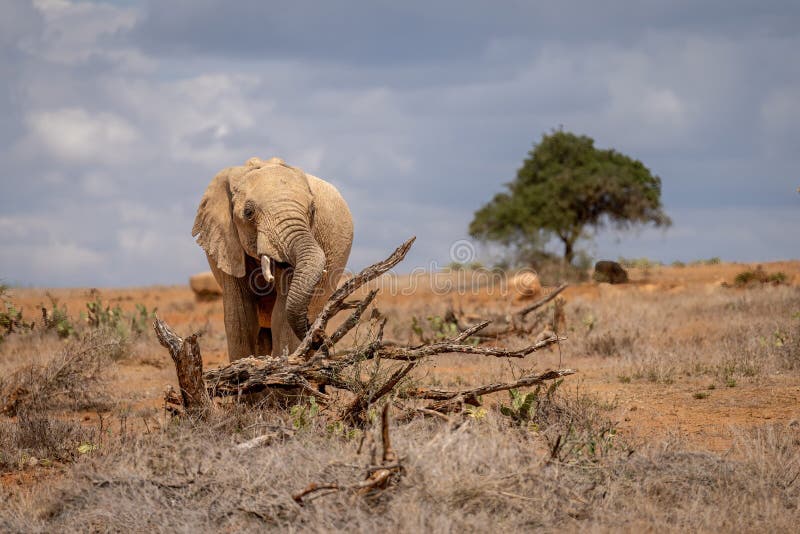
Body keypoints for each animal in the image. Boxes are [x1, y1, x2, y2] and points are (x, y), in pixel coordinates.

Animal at [193, 156, 353, 361]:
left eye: (312, 210)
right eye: (248, 212)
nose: (319, 337)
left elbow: (281, 313)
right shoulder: (228, 244)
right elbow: (240, 316)